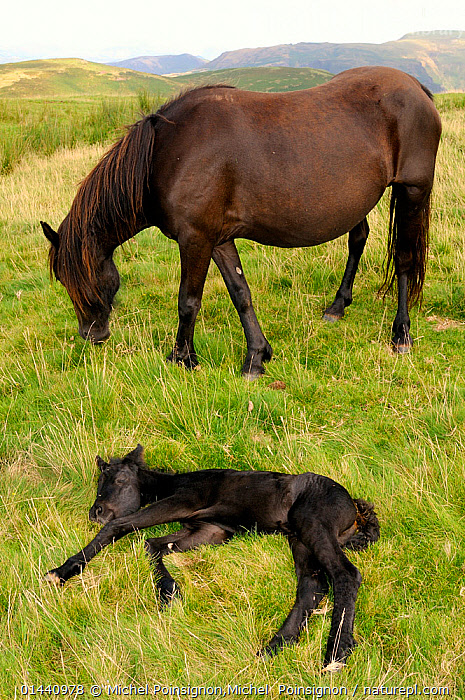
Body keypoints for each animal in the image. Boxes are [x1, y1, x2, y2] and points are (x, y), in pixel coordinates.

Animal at [41, 66, 441, 378]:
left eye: (76, 276)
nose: (91, 335)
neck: (166, 153)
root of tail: (415, 87)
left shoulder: (195, 239)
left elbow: (188, 301)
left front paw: (182, 358)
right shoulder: (218, 240)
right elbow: (241, 294)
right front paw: (256, 357)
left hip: (412, 192)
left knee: (405, 259)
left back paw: (401, 334)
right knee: (358, 240)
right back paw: (337, 307)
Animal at [45, 445, 380, 670]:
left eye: (119, 480)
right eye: (99, 483)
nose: (96, 512)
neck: (174, 482)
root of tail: (354, 507)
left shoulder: (184, 501)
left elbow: (121, 526)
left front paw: (62, 571)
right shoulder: (209, 530)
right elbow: (153, 544)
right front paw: (168, 592)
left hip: (313, 522)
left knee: (345, 575)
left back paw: (335, 654)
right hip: (298, 538)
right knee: (312, 586)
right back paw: (273, 647)